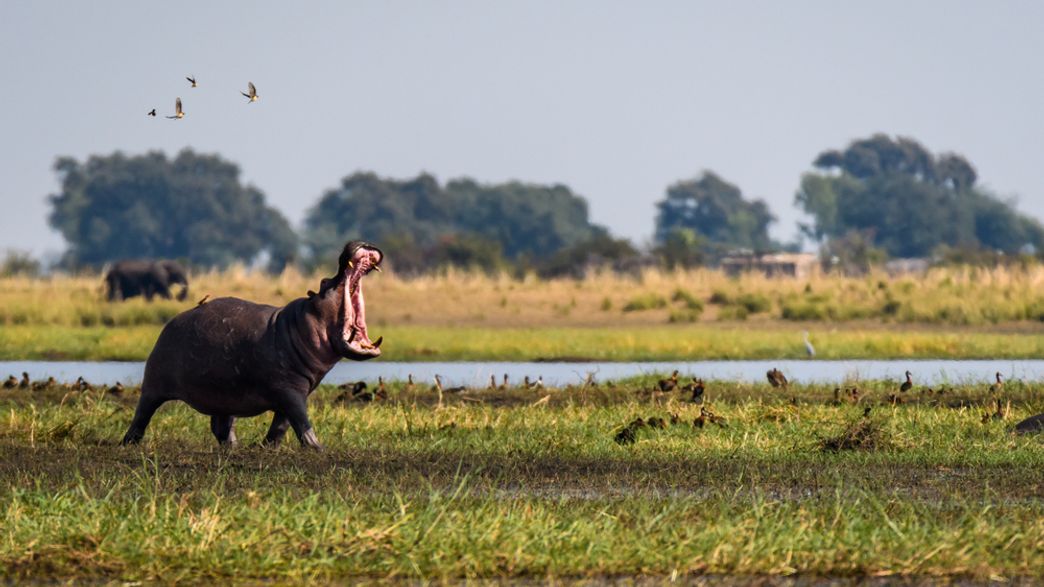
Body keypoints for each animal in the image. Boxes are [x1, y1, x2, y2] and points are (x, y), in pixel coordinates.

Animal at [121, 241, 384, 450]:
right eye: (324, 281)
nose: (353, 243)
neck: (301, 324)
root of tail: (170, 323)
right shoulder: (289, 390)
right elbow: (301, 421)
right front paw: (318, 448)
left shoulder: (296, 389)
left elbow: (282, 424)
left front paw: (266, 447)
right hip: (154, 384)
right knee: (142, 414)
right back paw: (129, 442)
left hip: (223, 394)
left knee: (222, 426)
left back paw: (233, 447)